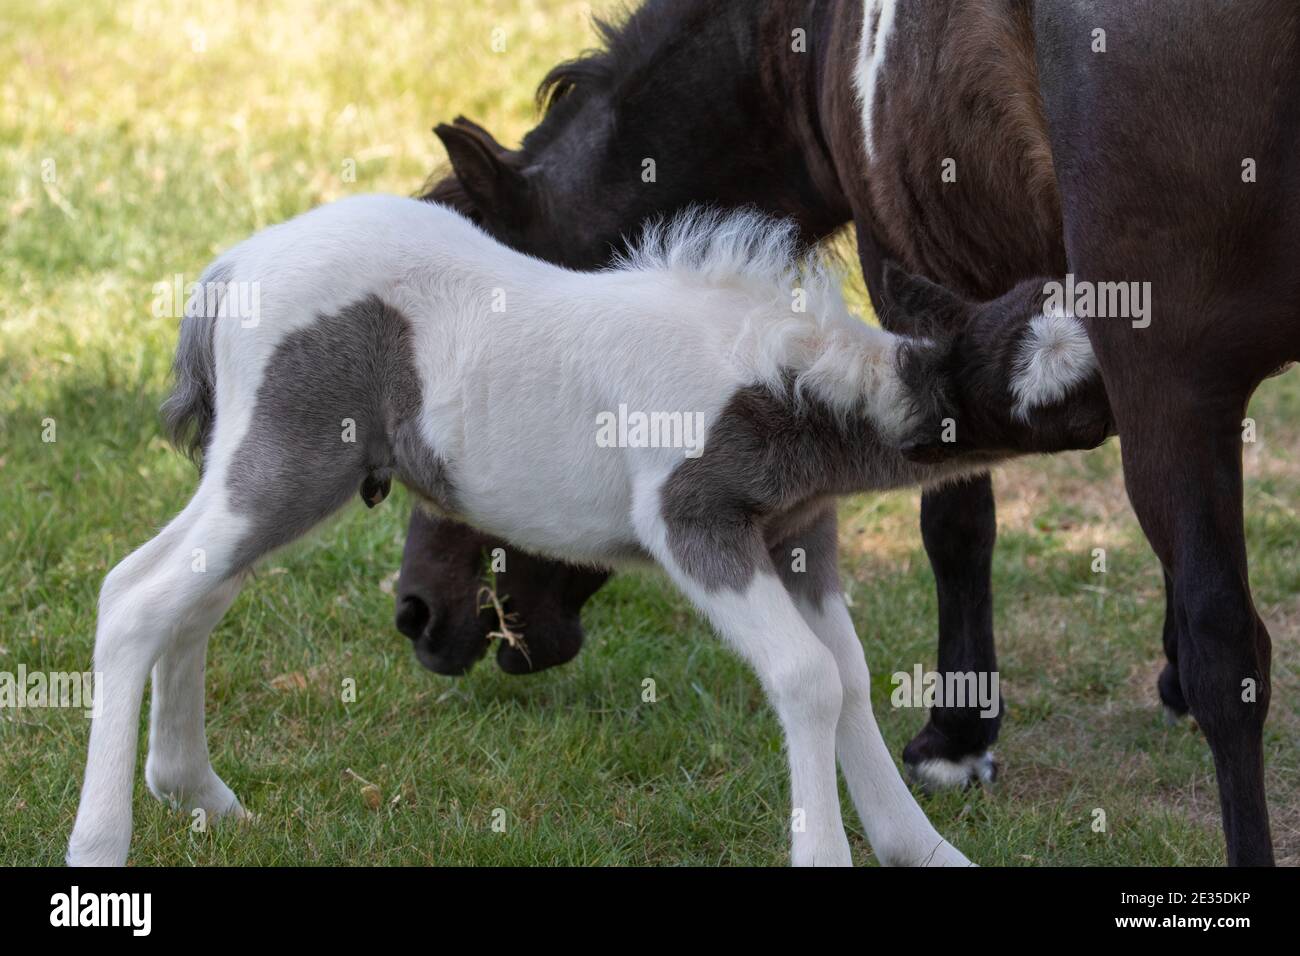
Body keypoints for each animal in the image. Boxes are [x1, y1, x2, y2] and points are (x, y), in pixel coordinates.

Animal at [399, 0, 1299, 864]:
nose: (417, 611)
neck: (801, 34)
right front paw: (1163, 674)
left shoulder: (922, 283)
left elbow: (956, 525)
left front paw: (958, 734)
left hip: (1166, 373)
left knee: (1231, 653)